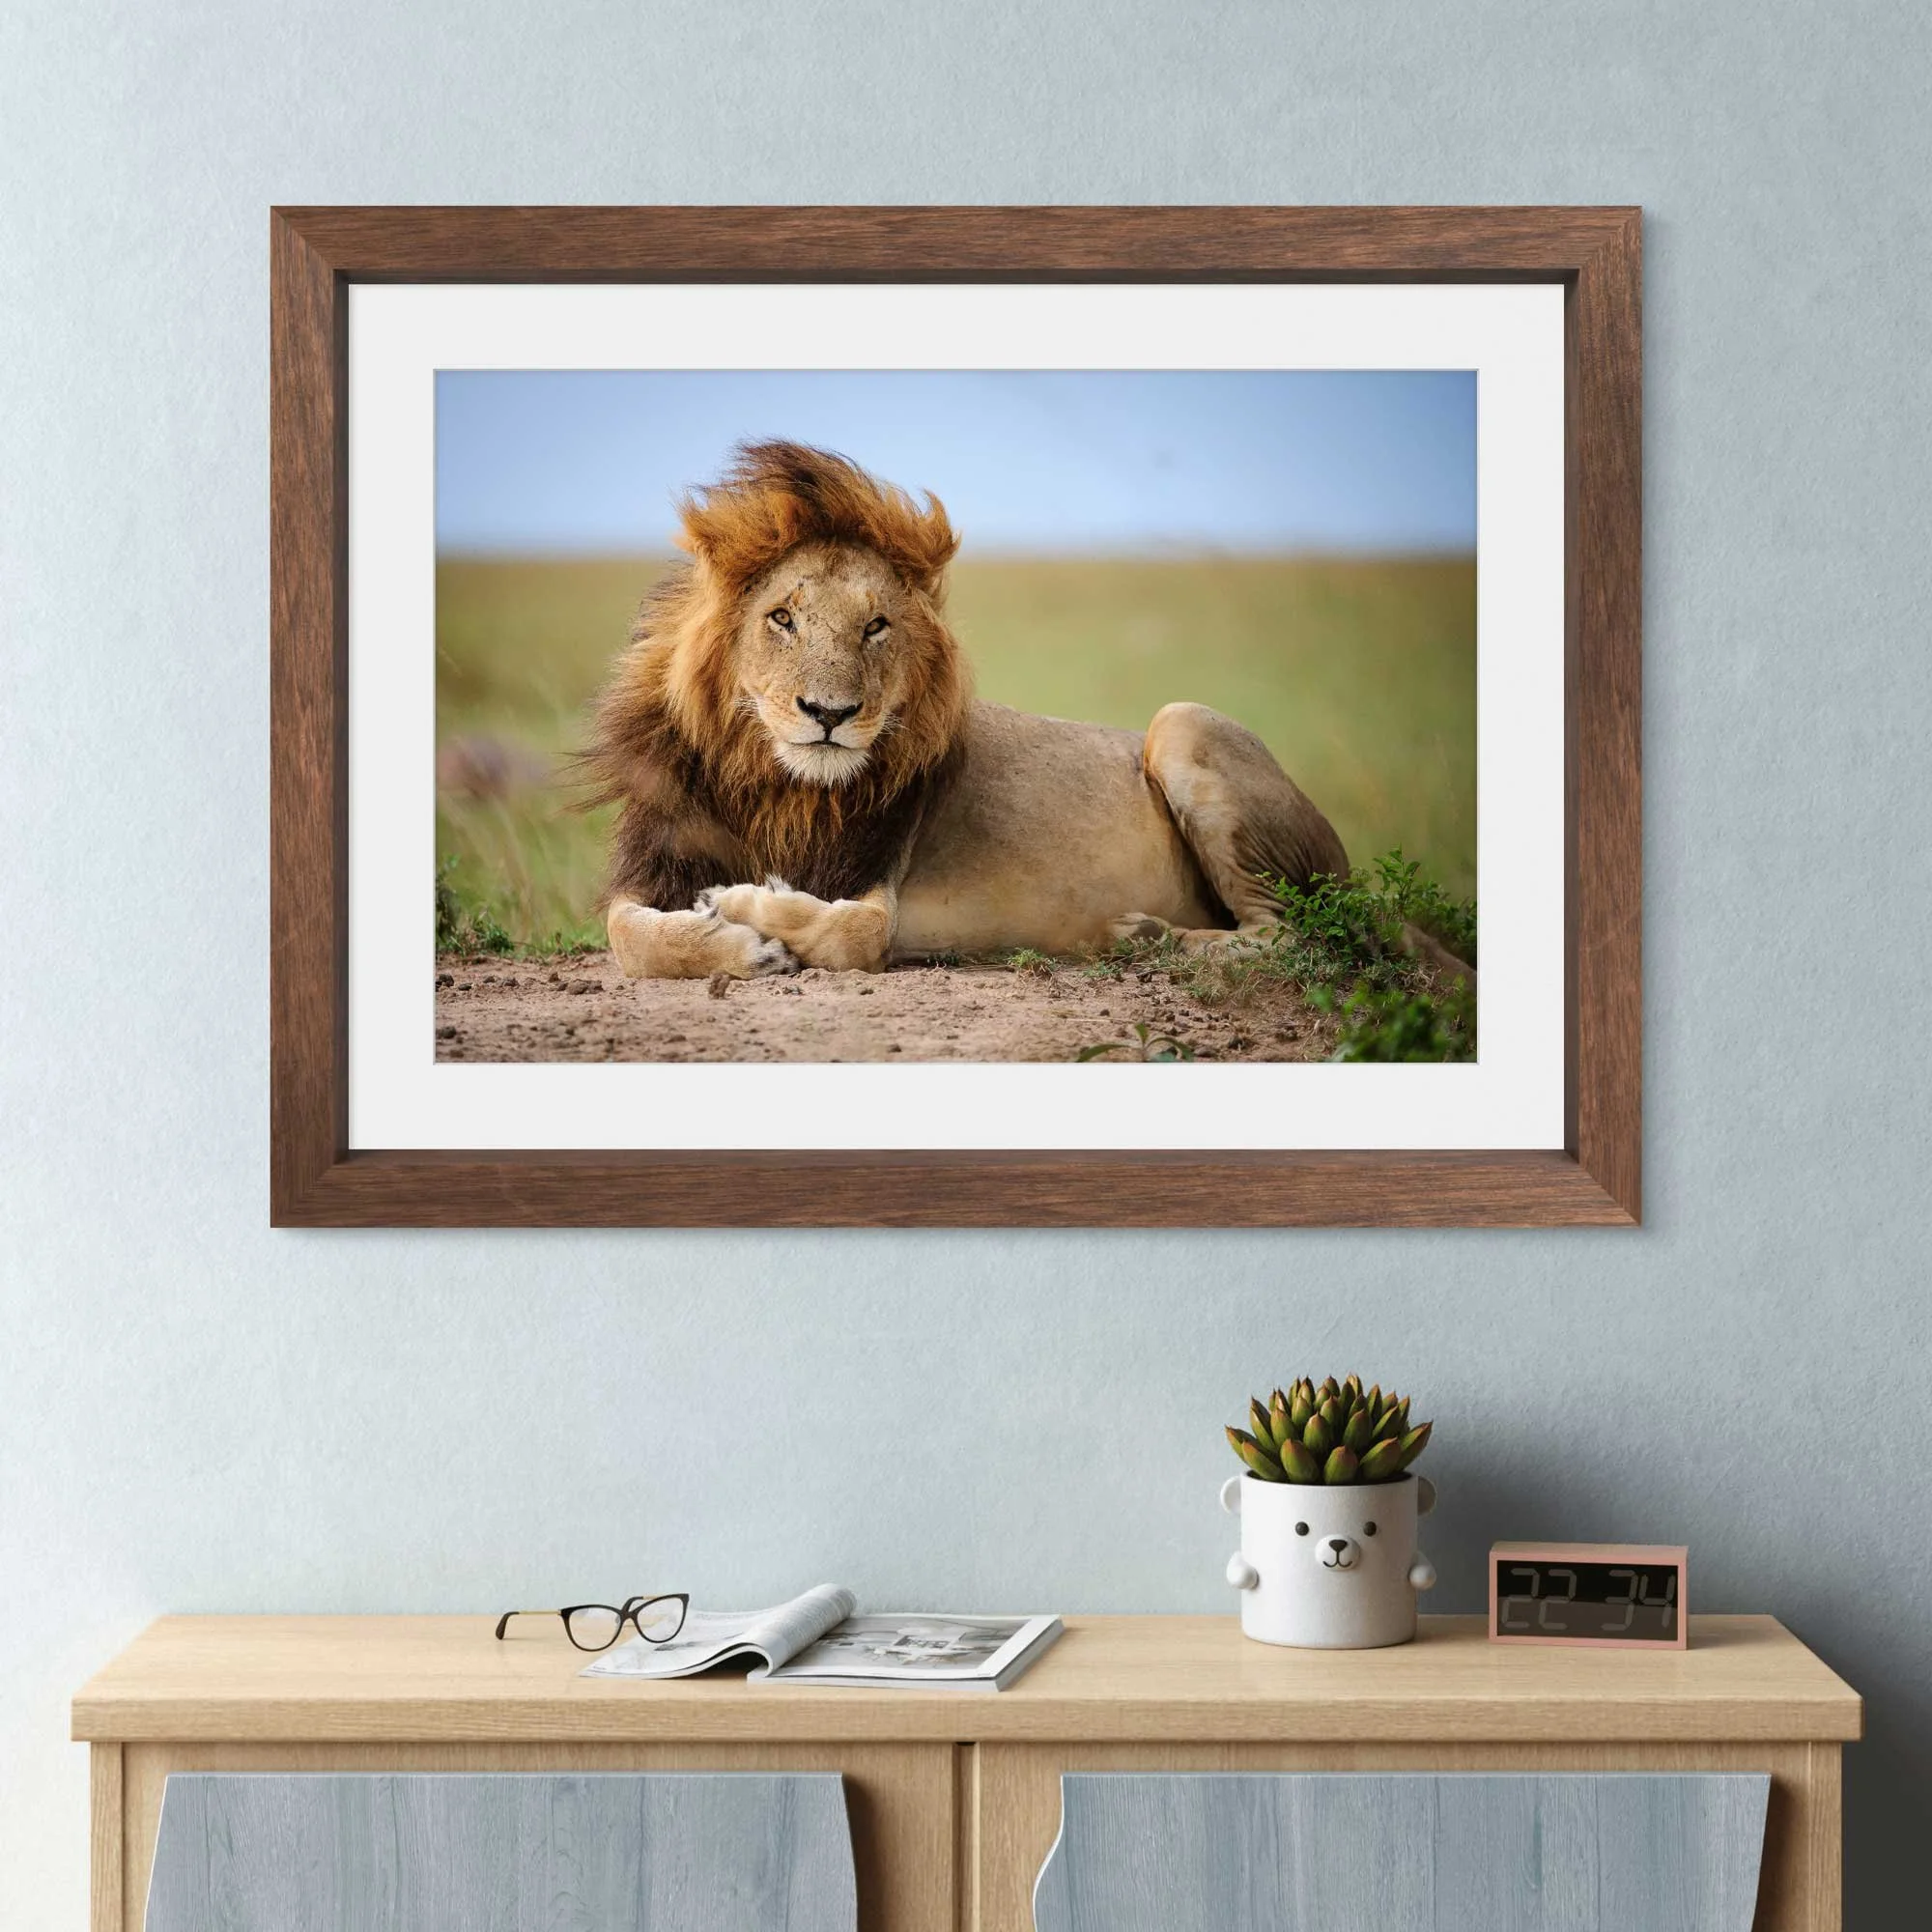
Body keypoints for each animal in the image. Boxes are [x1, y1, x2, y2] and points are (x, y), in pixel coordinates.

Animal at [585, 439, 1363, 981]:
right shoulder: (649, 866)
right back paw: (1138, 937)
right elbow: (628, 938)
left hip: (1184, 721)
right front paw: (732, 944)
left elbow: (852, 933)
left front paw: (746, 916)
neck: (780, 786)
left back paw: (1153, 940)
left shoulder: (878, 882)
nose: (829, 712)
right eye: (782, 618)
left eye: (876, 626)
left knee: (1292, 935)